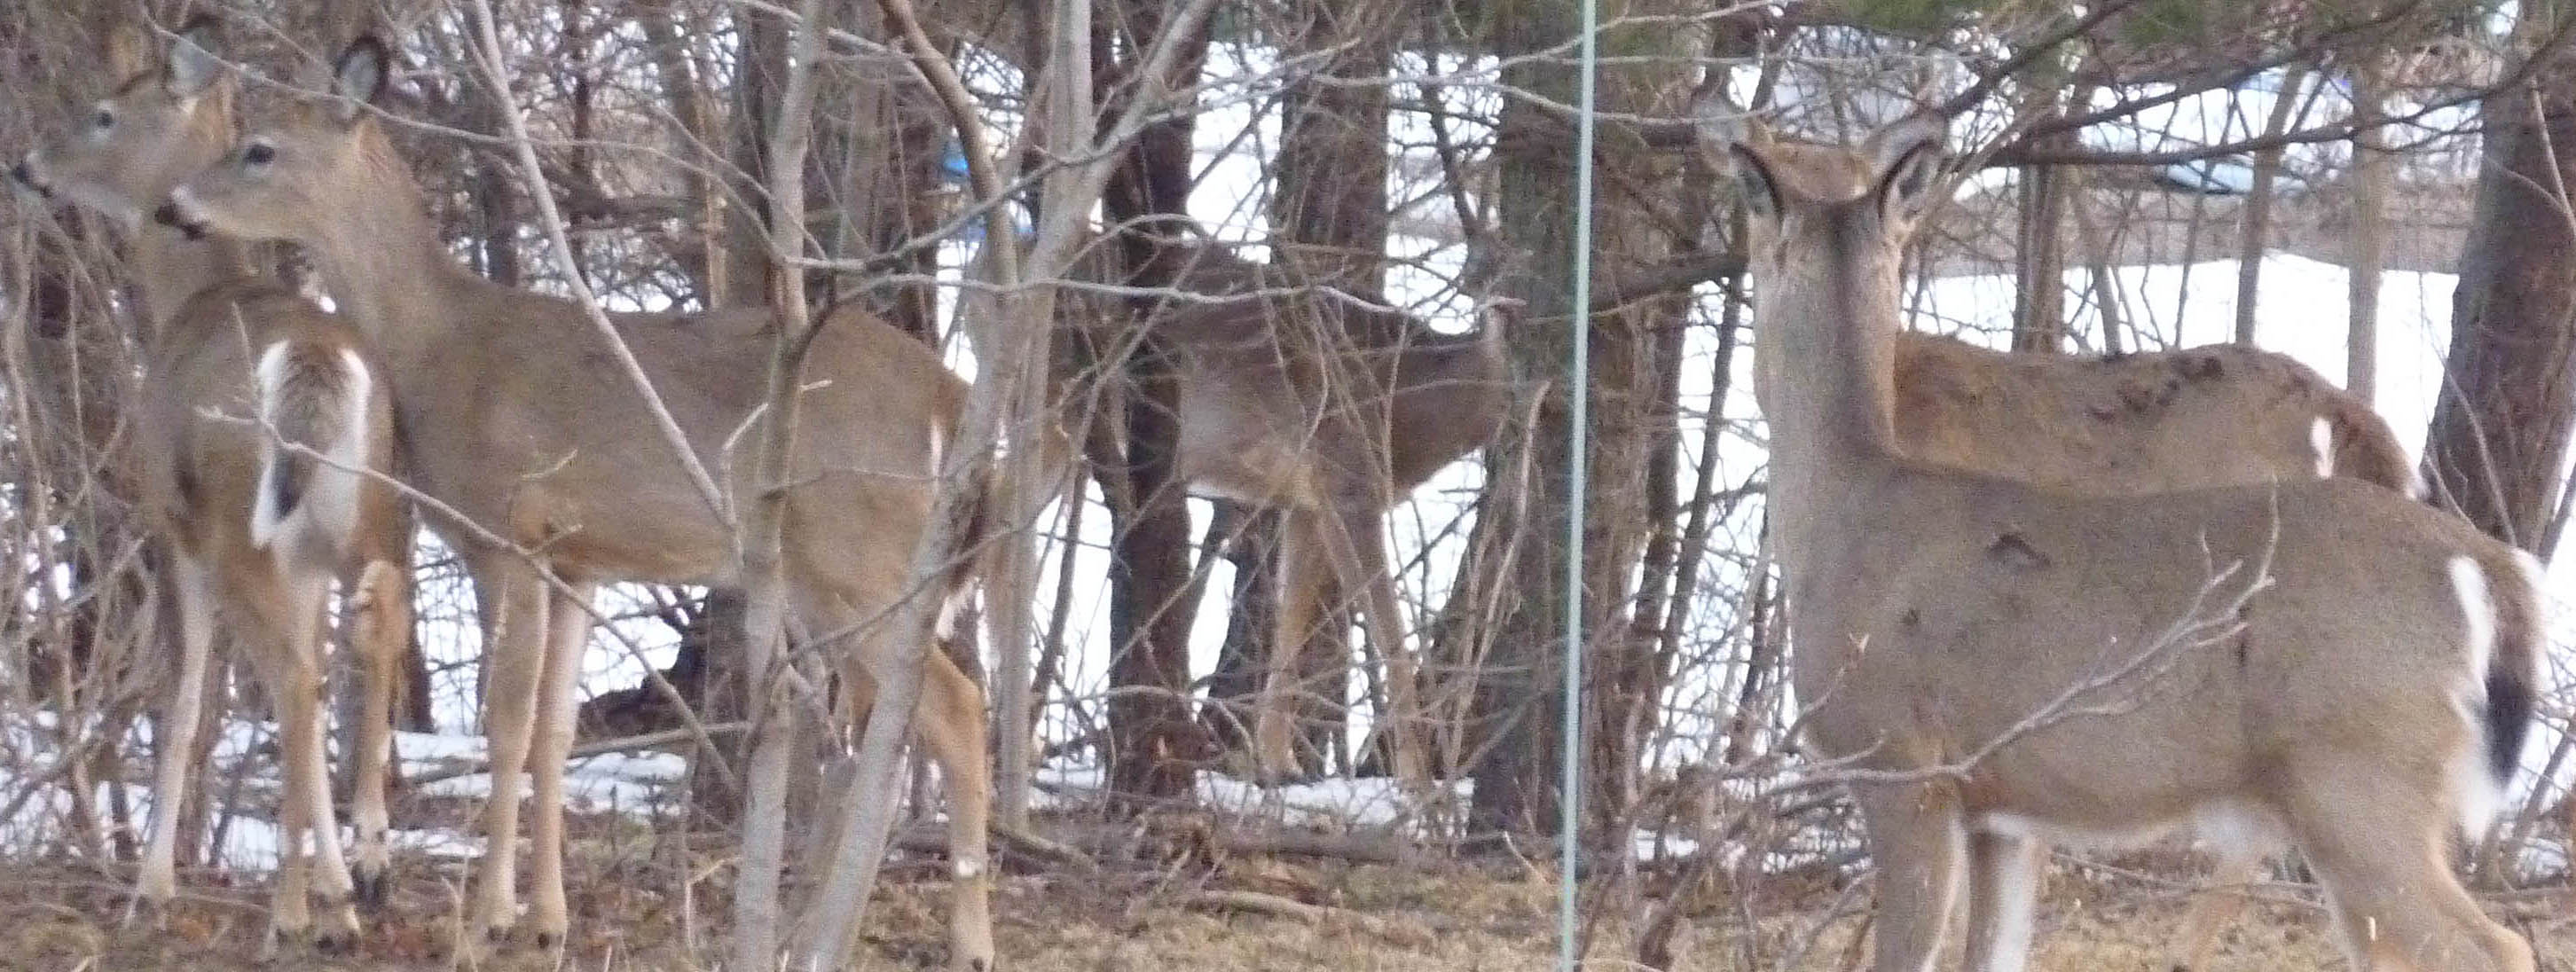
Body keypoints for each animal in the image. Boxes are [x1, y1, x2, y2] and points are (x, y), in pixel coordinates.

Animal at [10, 19, 413, 955]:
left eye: (103, 115)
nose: (28, 165)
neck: (189, 298)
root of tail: (313, 359)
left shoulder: (173, 524)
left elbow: (185, 701)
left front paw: (151, 887)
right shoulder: (302, 559)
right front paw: (337, 877)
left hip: (236, 528)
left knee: (292, 681)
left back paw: (298, 907)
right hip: (369, 509)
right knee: (369, 639)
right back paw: (361, 873)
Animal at [156, 37, 1000, 968]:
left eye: (259, 148)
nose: (172, 205)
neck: (437, 344)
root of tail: (951, 394)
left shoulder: (508, 532)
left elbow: (506, 722)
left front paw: (488, 919)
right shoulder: (580, 560)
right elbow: (554, 730)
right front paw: (546, 919)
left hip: (861, 555)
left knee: (958, 709)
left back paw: (968, 940)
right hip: (840, 578)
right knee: (900, 720)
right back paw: (824, 921)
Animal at [1702, 105, 2540, 971]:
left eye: (1749, 203)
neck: (1849, 502)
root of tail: (2486, 568)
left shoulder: (1903, 762)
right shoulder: (2000, 808)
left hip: (2358, 772)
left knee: (2497, 946)